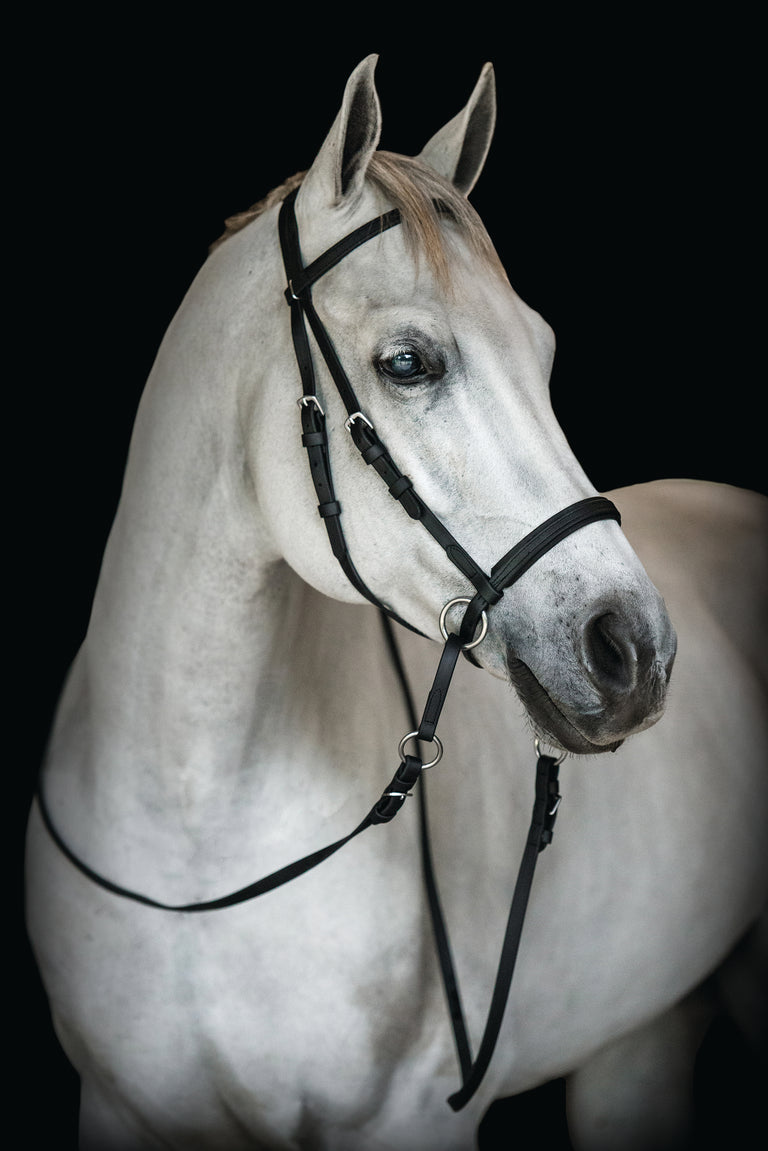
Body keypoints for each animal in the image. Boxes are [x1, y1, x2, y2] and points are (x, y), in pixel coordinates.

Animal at [26, 54, 767, 1150]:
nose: (633, 649)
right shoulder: (119, 1110)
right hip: (641, 1042)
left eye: (544, 352)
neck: (197, 832)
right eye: (407, 362)